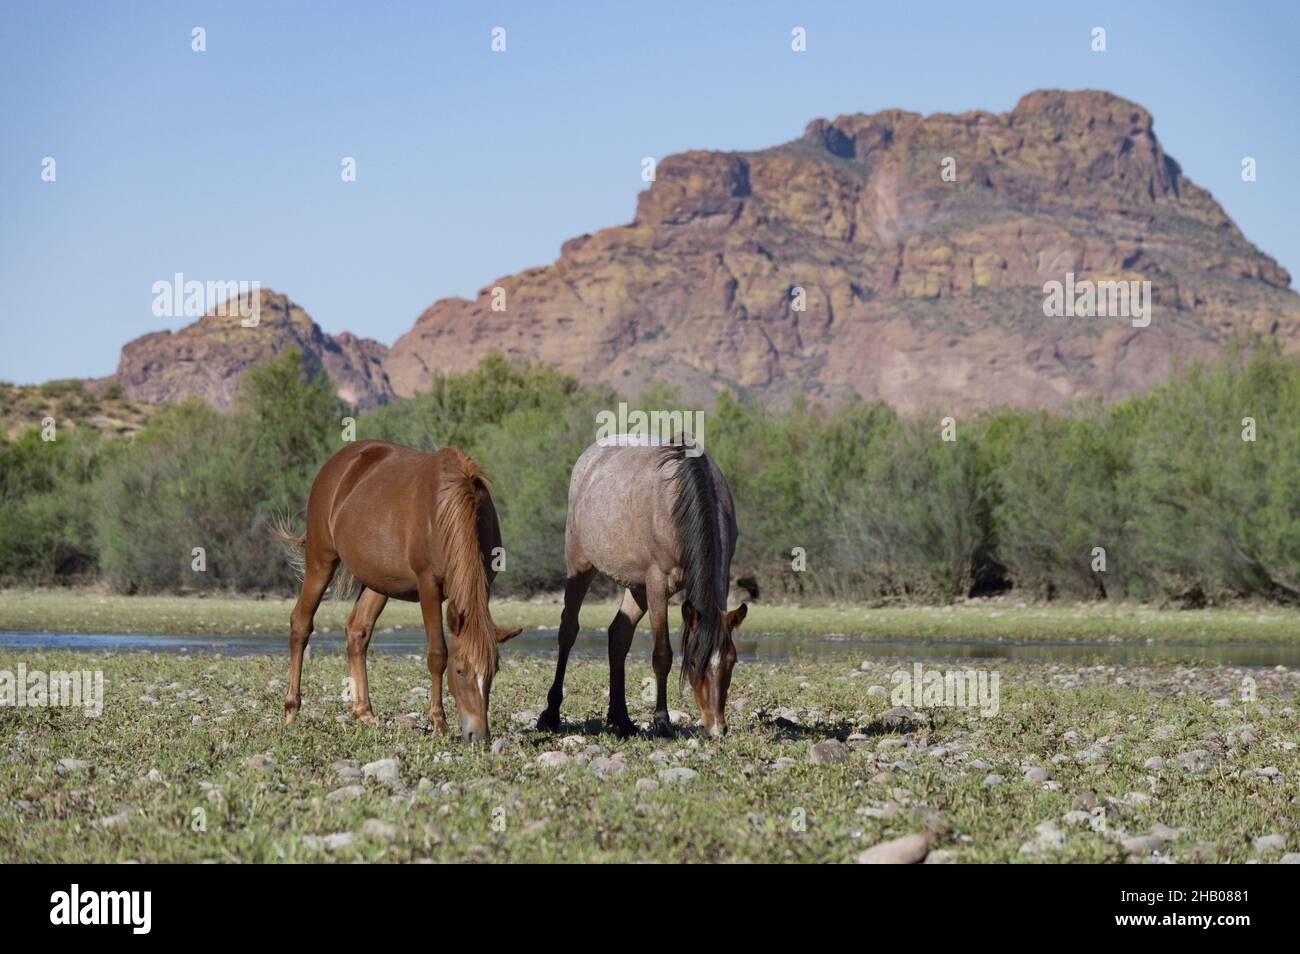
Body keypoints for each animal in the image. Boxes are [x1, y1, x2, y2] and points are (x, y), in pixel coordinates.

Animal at [274, 439, 521, 741]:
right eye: (460, 670)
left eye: (494, 671)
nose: (479, 735)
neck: (447, 509)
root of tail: (337, 465)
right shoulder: (429, 586)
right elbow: (437, 653)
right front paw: (439, 722)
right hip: (321, 560)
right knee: (301, 623)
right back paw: (291, 709)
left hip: (378, 581)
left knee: (358, 631)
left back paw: (365, 713)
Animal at [536, 436, 747, 738]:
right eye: (694, 661)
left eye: (732, 661)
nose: (716, 727)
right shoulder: (658, 582)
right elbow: (662, 654)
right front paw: (662, 721)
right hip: (581, 565)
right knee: (568, 630)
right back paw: (551, 713)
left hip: (636, 587)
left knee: (618, 635)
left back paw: (621, 718)